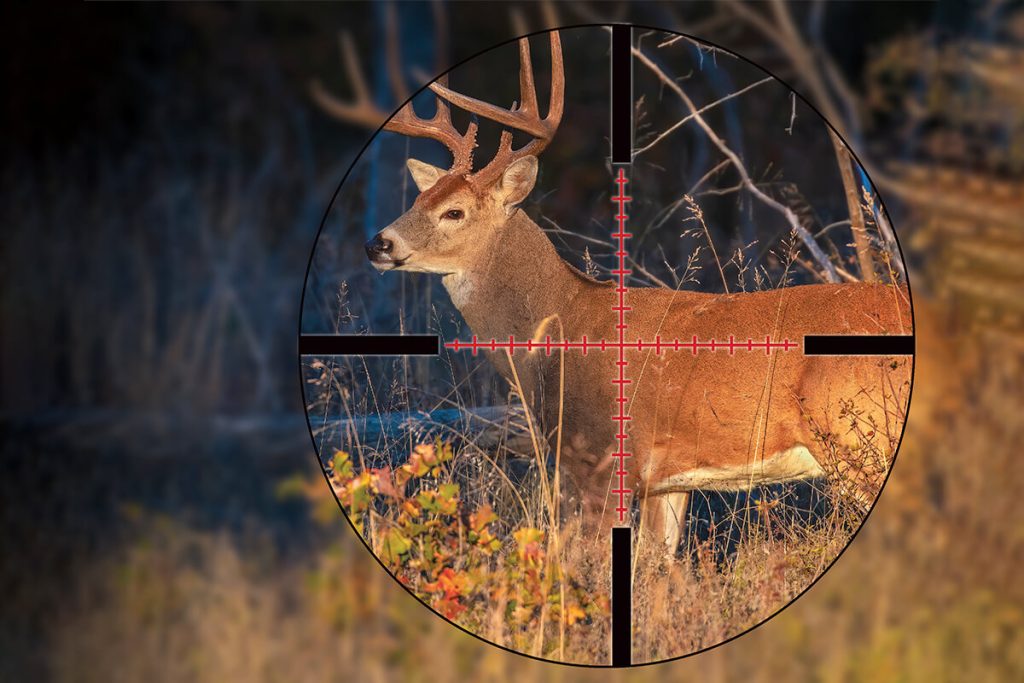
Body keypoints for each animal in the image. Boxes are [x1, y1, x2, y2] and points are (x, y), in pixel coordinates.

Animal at [315, 30, 913, 553]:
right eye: (419, 199)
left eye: (454, 212)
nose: (377, 243)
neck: (562, 326)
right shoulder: (669, 480)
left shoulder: (601, 459)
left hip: (859, 436)